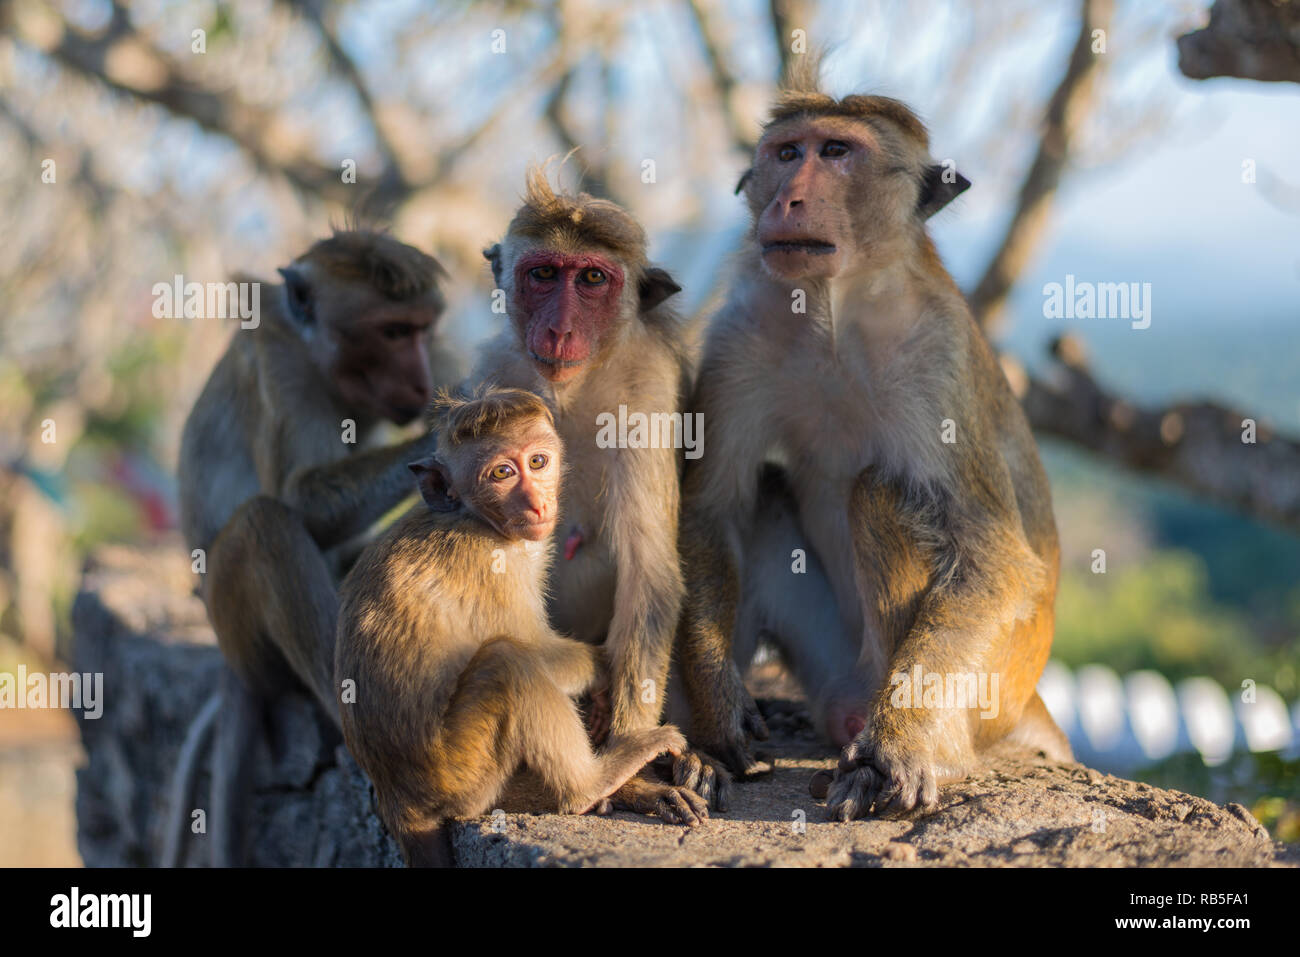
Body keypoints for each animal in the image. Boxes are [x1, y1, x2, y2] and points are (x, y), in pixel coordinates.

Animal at [163, 229, 453, 866]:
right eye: (393, 331)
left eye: (422, 329)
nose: (424, 380)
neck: (318, 359)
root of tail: (227, 658)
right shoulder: (281, 367)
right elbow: (303, 500)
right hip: (238, 626)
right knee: (265, 525)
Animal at [336, 387, 686, 866]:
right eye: (502, 473)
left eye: (537, 462)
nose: (537, 502)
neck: (472, 518)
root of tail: (397, 798)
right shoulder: (491, 564)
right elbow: (538, 651)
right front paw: (597, 666)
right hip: (461, 773)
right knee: (509, 662)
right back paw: (589, 785)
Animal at [465, 171, 713, 823]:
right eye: (546, 274)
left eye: (593, 280)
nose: (559, 329)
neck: (568, 391)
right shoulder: (488, 375)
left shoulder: (648, 392)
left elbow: (649, 573)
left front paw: (633, 772)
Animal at [675, 59, 1073, 822]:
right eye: (787, 153)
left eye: (836, 151)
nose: (790, 199)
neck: (836, 306)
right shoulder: (740, 335)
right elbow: (715, 504)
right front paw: (716, 712)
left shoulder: (938, 354)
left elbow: (992, 555)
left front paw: (898, 752)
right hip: (829, 658)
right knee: (766, 497)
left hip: (986, 693)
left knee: (881, 493)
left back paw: (923, 752)